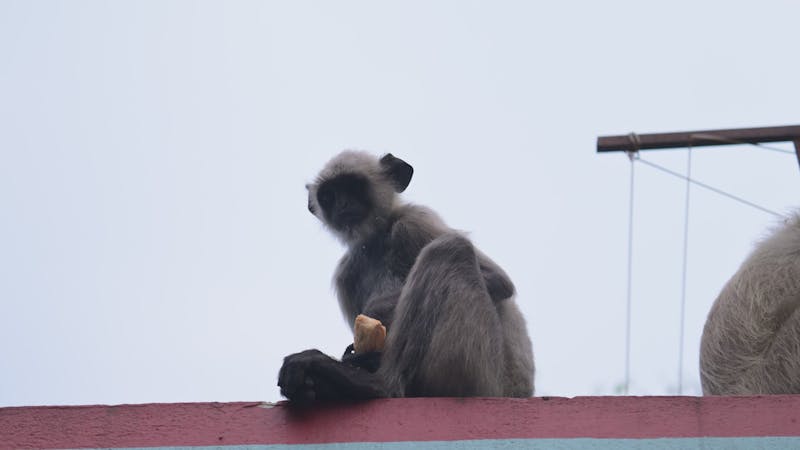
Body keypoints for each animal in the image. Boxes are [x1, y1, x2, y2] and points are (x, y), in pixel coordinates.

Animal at [277, 151, 534, 402]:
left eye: (353, 186)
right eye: (329, 195)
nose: (343, 204)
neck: (377, 240)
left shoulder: (413, 222)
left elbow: (499, 282)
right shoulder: (347, 273)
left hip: (484, 376)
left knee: (450, 249)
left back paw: (375, 385)